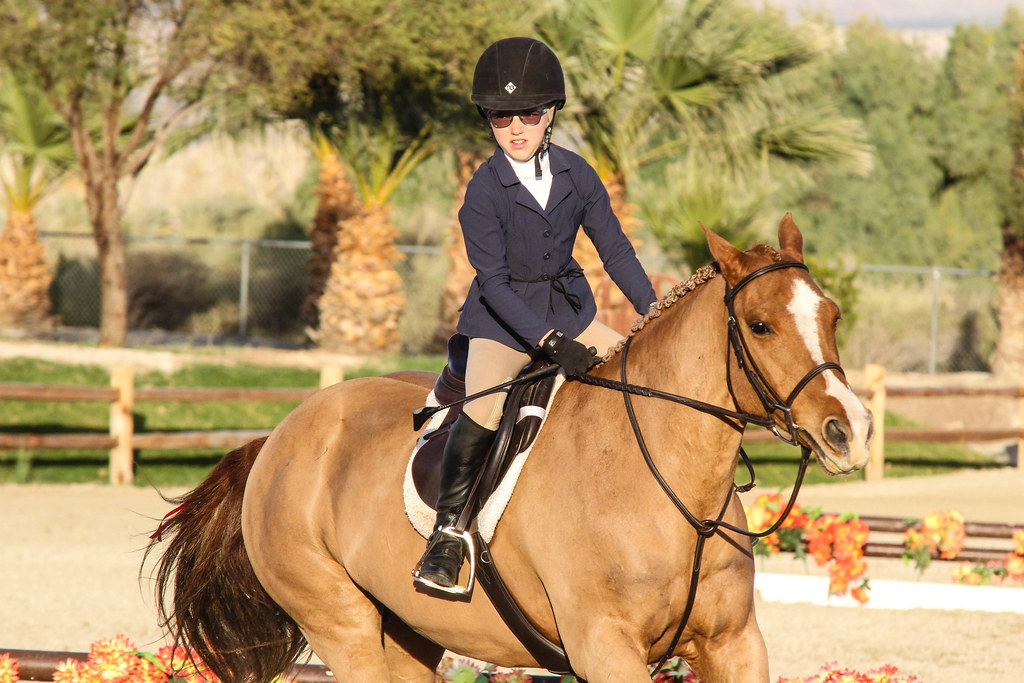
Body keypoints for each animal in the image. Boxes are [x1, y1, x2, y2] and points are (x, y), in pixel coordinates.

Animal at [145, 214, 872, 683]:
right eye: (760, 324)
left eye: (833, 316)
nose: (851, 429)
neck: (669, 486)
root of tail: (282, 436)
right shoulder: (605, 648)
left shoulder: (733, 643)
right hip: (342, 625)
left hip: (409, 632)